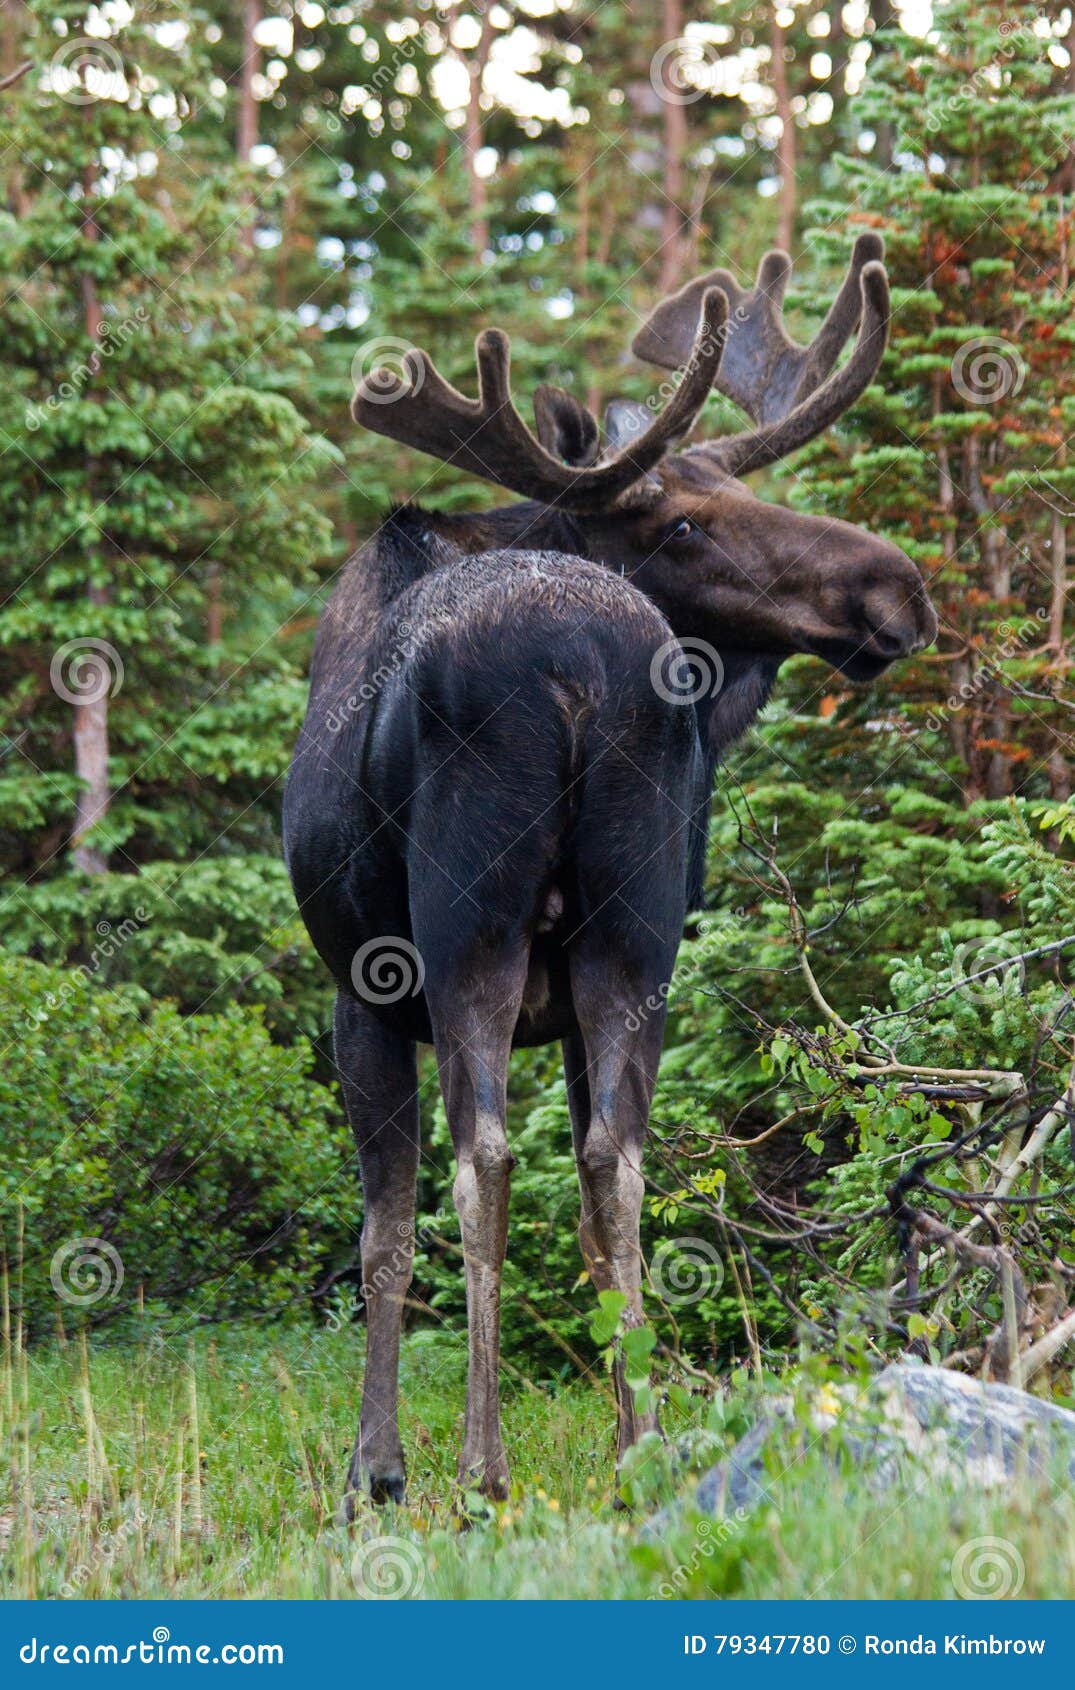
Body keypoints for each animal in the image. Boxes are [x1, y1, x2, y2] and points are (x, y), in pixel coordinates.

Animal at [282, 235, 937, 1513]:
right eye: (681, 524)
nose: (897, 587)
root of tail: (581, 664)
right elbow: (587, 1201)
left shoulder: (358, 987)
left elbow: (386, 1229)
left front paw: (373, 1467)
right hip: (634, 934)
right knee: (617, 1162)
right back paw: (638, 1449)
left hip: (466, 924)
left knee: (484, 1160)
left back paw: (481, 1469)